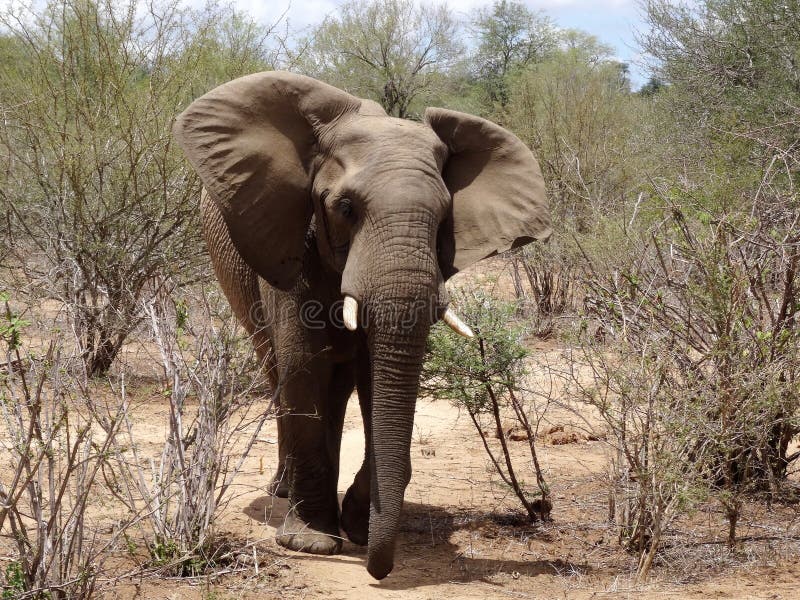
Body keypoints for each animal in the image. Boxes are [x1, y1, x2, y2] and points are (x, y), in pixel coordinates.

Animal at [172, 71, 550, 580]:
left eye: (444, 218)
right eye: (346, 208)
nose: (378, 570)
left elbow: (375, 374)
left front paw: (356, 526)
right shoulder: (293, 239)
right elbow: (304, 364)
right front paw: (311, 543)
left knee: (340, 382)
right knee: (277, 366)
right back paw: (283, 493)